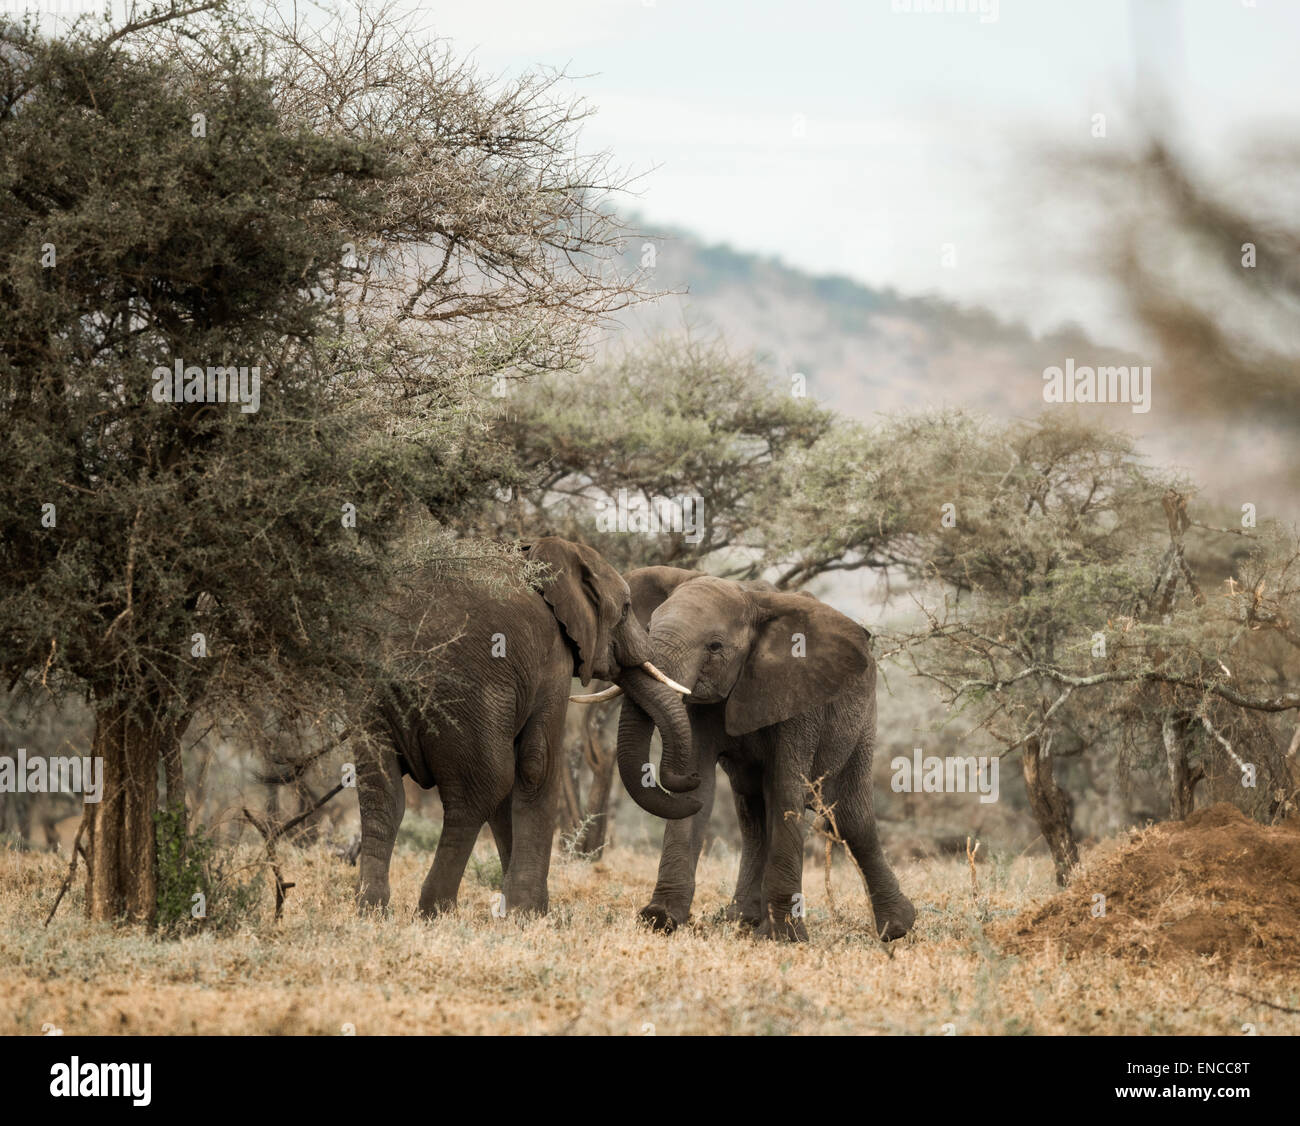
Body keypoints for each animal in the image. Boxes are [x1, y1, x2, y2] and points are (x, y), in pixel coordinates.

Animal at [355, 537, 701, 918]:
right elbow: (538, 764)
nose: (692, 784)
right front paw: (531, 912)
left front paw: (515, 909)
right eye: (625, 610)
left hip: (373, 703)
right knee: (479, 792)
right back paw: (436, 911)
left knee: (382, 793)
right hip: (463, 696)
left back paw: (371, 907)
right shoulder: (554, 657)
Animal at [572, 567, 915, 942]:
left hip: (861, 723)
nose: (674, 777)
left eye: (715, 646)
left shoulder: (798, 698)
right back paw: (742, 921)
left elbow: (786, 789)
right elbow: (705, 790)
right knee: (753, 814)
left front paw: (784, 937)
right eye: (647, 629)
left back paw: (897, 928)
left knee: (851, 817)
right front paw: (659, 920)